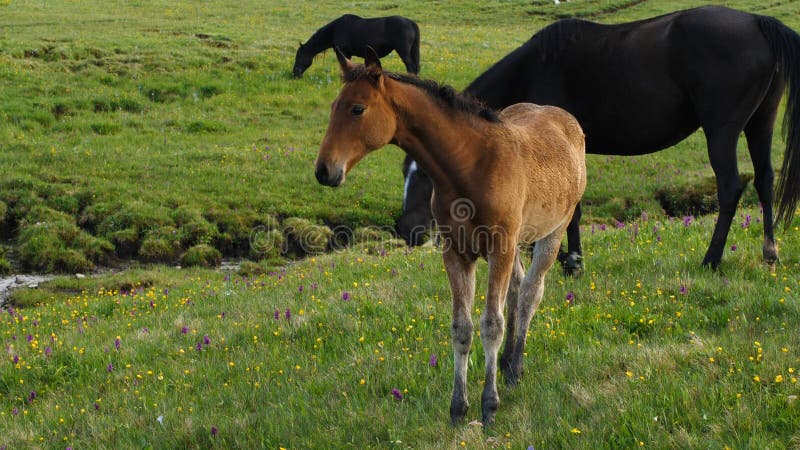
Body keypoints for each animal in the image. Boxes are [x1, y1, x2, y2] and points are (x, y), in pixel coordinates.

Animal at [315, 49, 586, 426]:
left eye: (357, 109)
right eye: (332, 107)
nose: (324, 171)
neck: (471, 166)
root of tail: (564, 118)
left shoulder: (500, 247)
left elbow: (491, 324)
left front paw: (489, 406)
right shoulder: (457, 252)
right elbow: (462, 327)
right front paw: (458, 408)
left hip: (552, 233)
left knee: (531, 292)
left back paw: (515, 368)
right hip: (517, 243)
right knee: (517, 288)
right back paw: (506, 364)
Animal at [397, 5, 800, 271]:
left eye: (426, 174)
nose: (406, 231)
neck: (534, 69)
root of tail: (758, 23)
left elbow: (568, 207)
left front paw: (570, 260)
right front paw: (567, 257)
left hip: (722, 130)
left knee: (731, 187)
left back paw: (711, 259)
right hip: (759, 123)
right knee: (764, 180)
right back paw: (770, 252)